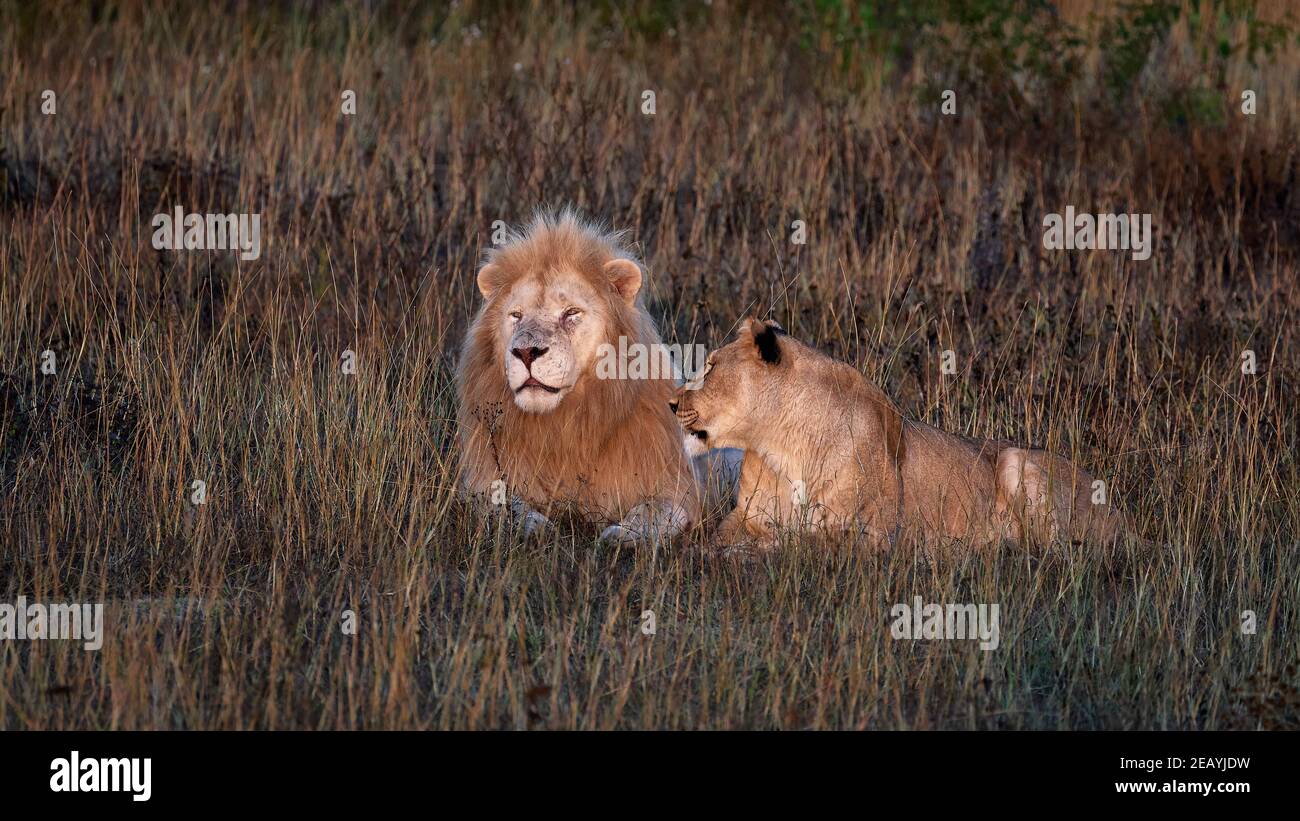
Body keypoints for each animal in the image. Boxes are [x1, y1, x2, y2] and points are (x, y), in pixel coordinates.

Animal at [455, 210, 699, 545]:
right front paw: (536, 527)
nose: (526, 352)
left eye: (570, 313)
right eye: (516, 315)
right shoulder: (482, 480)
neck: (566, 424)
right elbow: (504, 504)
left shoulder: (674, 483)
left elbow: (658, 510)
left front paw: (619, 536)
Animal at [671, 318, 1133, 552]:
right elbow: (720, 539)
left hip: (1018, 461)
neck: (782, 444)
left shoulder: (874, 533)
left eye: (710, 366)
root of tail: (1122, 516)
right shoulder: (743, 516)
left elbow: (805, 541)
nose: (673, 403)